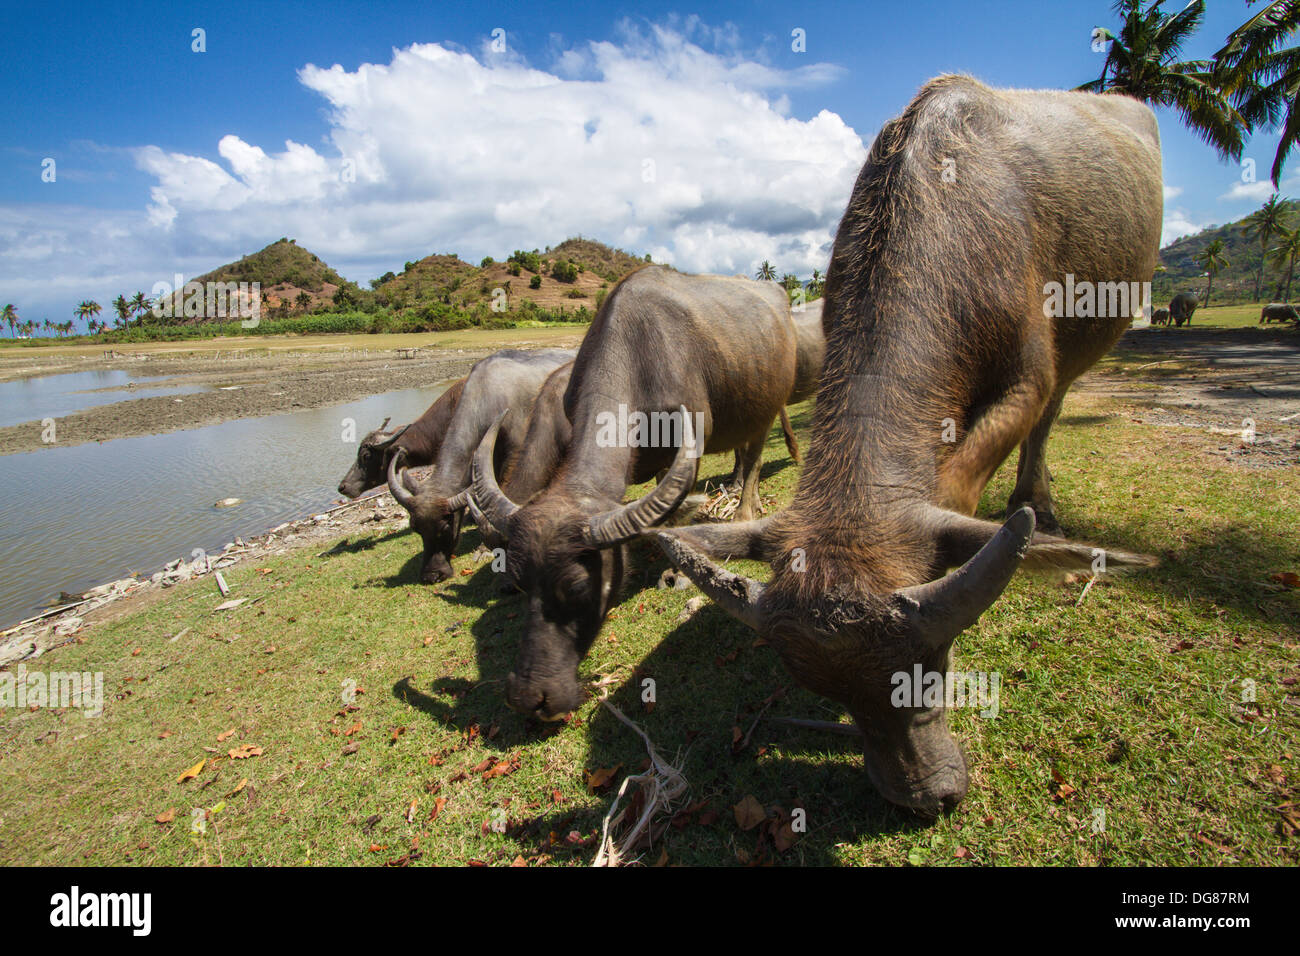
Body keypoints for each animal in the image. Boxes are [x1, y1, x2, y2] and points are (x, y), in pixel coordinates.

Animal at [655, 76, 1160, 815]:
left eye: (935, 663)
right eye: (829, 691)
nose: (927, 796)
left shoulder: (1027, 378)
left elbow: (968, 480)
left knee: (1052, 414)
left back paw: (1040, 501)